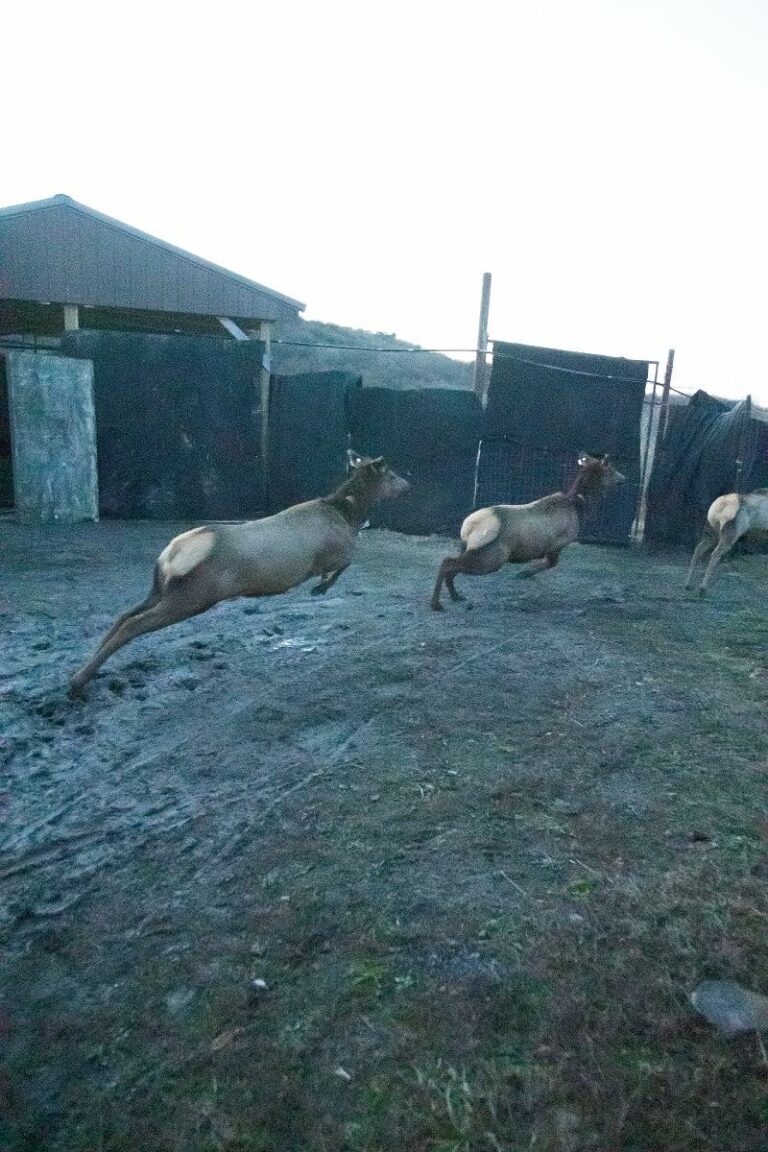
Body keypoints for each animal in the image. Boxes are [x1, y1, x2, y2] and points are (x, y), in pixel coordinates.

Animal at [69, 452, 409, 695]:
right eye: (391, 474)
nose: (408, 484)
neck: (350, 516)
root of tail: (171, 555)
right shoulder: (332, 554)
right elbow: (346, 563)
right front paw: (320, 589)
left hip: (159, 588)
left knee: (123, 615)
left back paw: (79, 673)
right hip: (194, 595)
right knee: (133, 623)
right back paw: (78, 682)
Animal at [431, 454, 625, 610]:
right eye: (611, 469)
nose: (623, 479)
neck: (580, 507)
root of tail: (467, 527)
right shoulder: (558, 544)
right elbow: (551, 564)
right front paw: (523, 573)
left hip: (470, 549)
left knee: (452, 565)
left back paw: (456, 596)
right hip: (492, 557)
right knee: (448, 563)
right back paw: (436, 603)